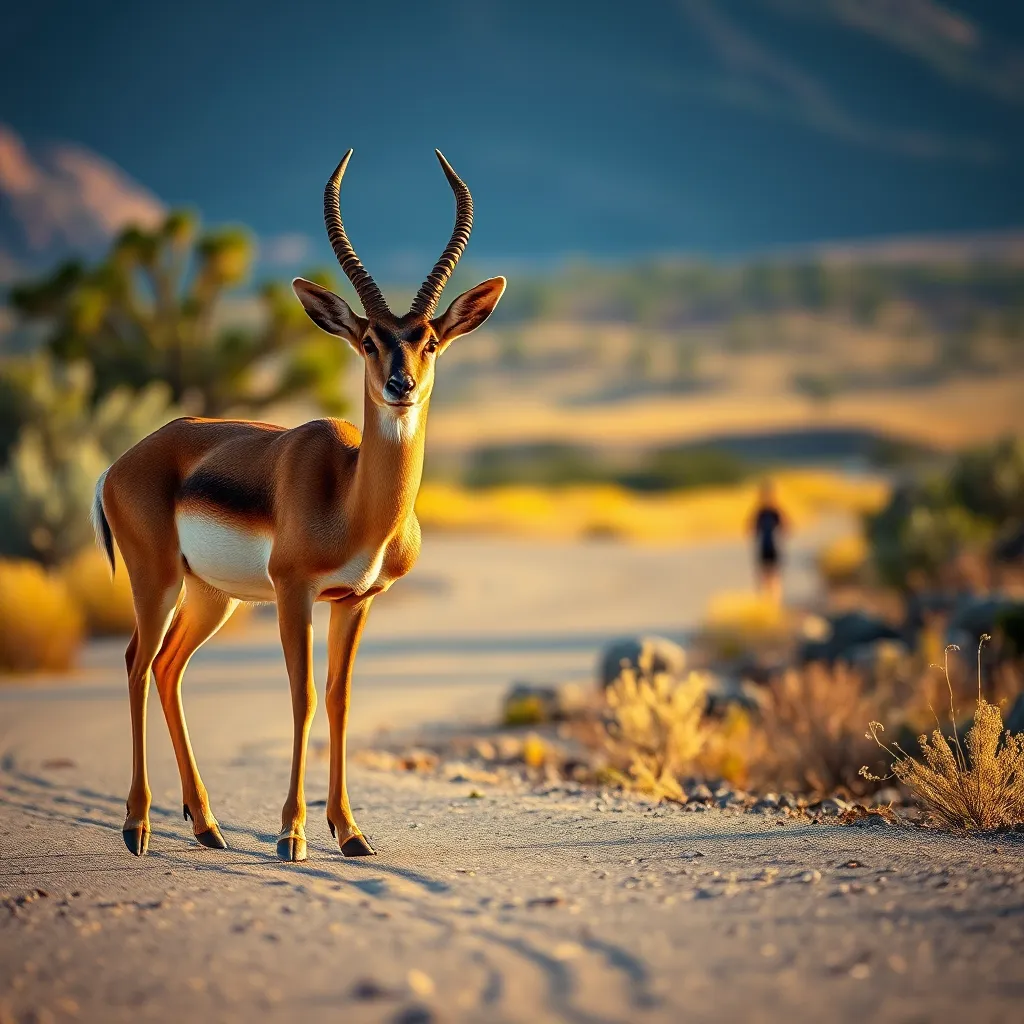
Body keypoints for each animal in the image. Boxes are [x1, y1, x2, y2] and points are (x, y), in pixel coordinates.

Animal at [93, 150, 505, 861]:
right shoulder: (293, 592)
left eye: (428, 341)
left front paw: (352, 833)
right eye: (368, 341)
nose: (400, 385)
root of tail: (120, 464)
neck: (353, 502)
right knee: (136, 664)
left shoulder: (356, 599)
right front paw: (293, 834)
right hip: (158, 579)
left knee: (169, 668)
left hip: (212, 596)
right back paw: (137, 827)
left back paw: (206, 826)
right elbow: (303, 696)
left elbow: (340, 699)